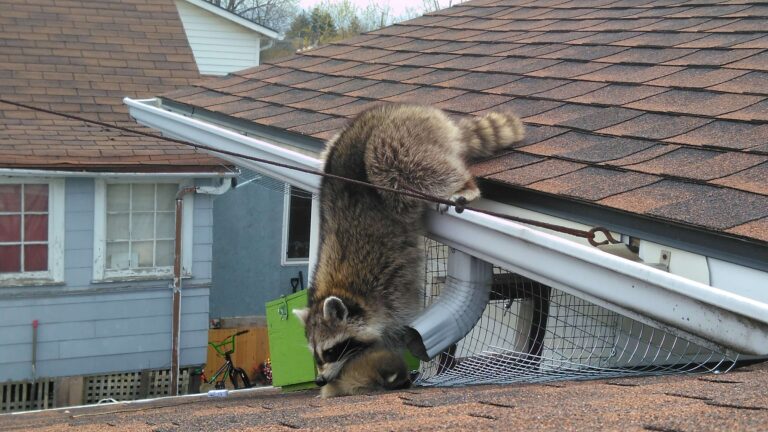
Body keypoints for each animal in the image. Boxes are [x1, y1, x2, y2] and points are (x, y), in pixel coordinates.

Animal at [294, 104, 524, 393]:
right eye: (315, 354)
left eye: (331, 351)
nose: (320, 380)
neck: (342, 289)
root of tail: (406, 108)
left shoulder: (389, 287)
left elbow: (394, 328)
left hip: (398, 139)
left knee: (401, 165)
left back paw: (464, 186)